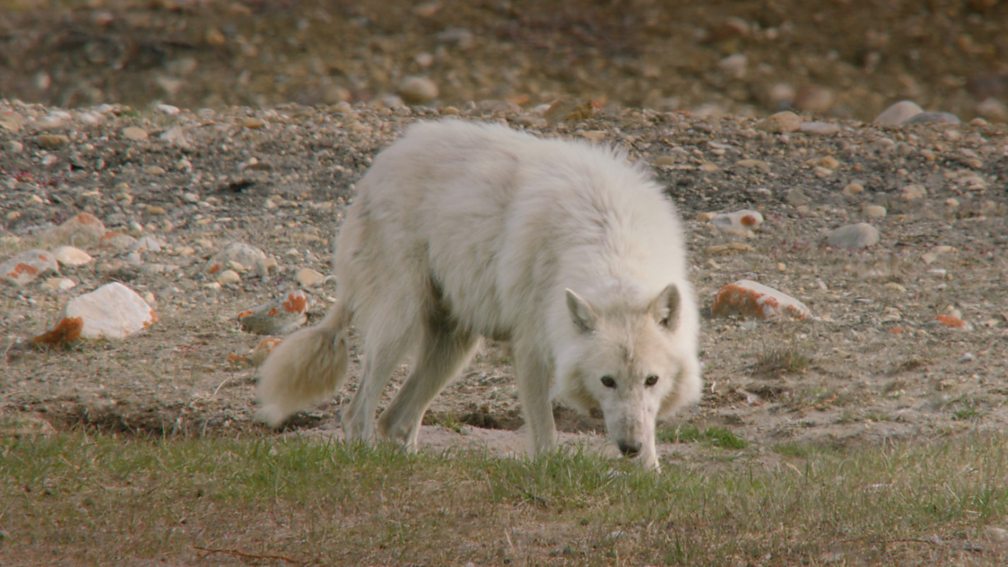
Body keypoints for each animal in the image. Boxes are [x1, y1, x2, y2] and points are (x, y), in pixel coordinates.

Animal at [256, 119, 701, 469]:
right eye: (607, 381)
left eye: (651, 380)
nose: (629, 447)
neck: (609, 237)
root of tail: (377, 167)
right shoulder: (531, 349)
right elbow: (545, 434)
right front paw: (549, 473)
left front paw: (648, 474)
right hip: (399, 329)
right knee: (357, 414)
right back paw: (366, 463)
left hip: (453, 350)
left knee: (396, 421)